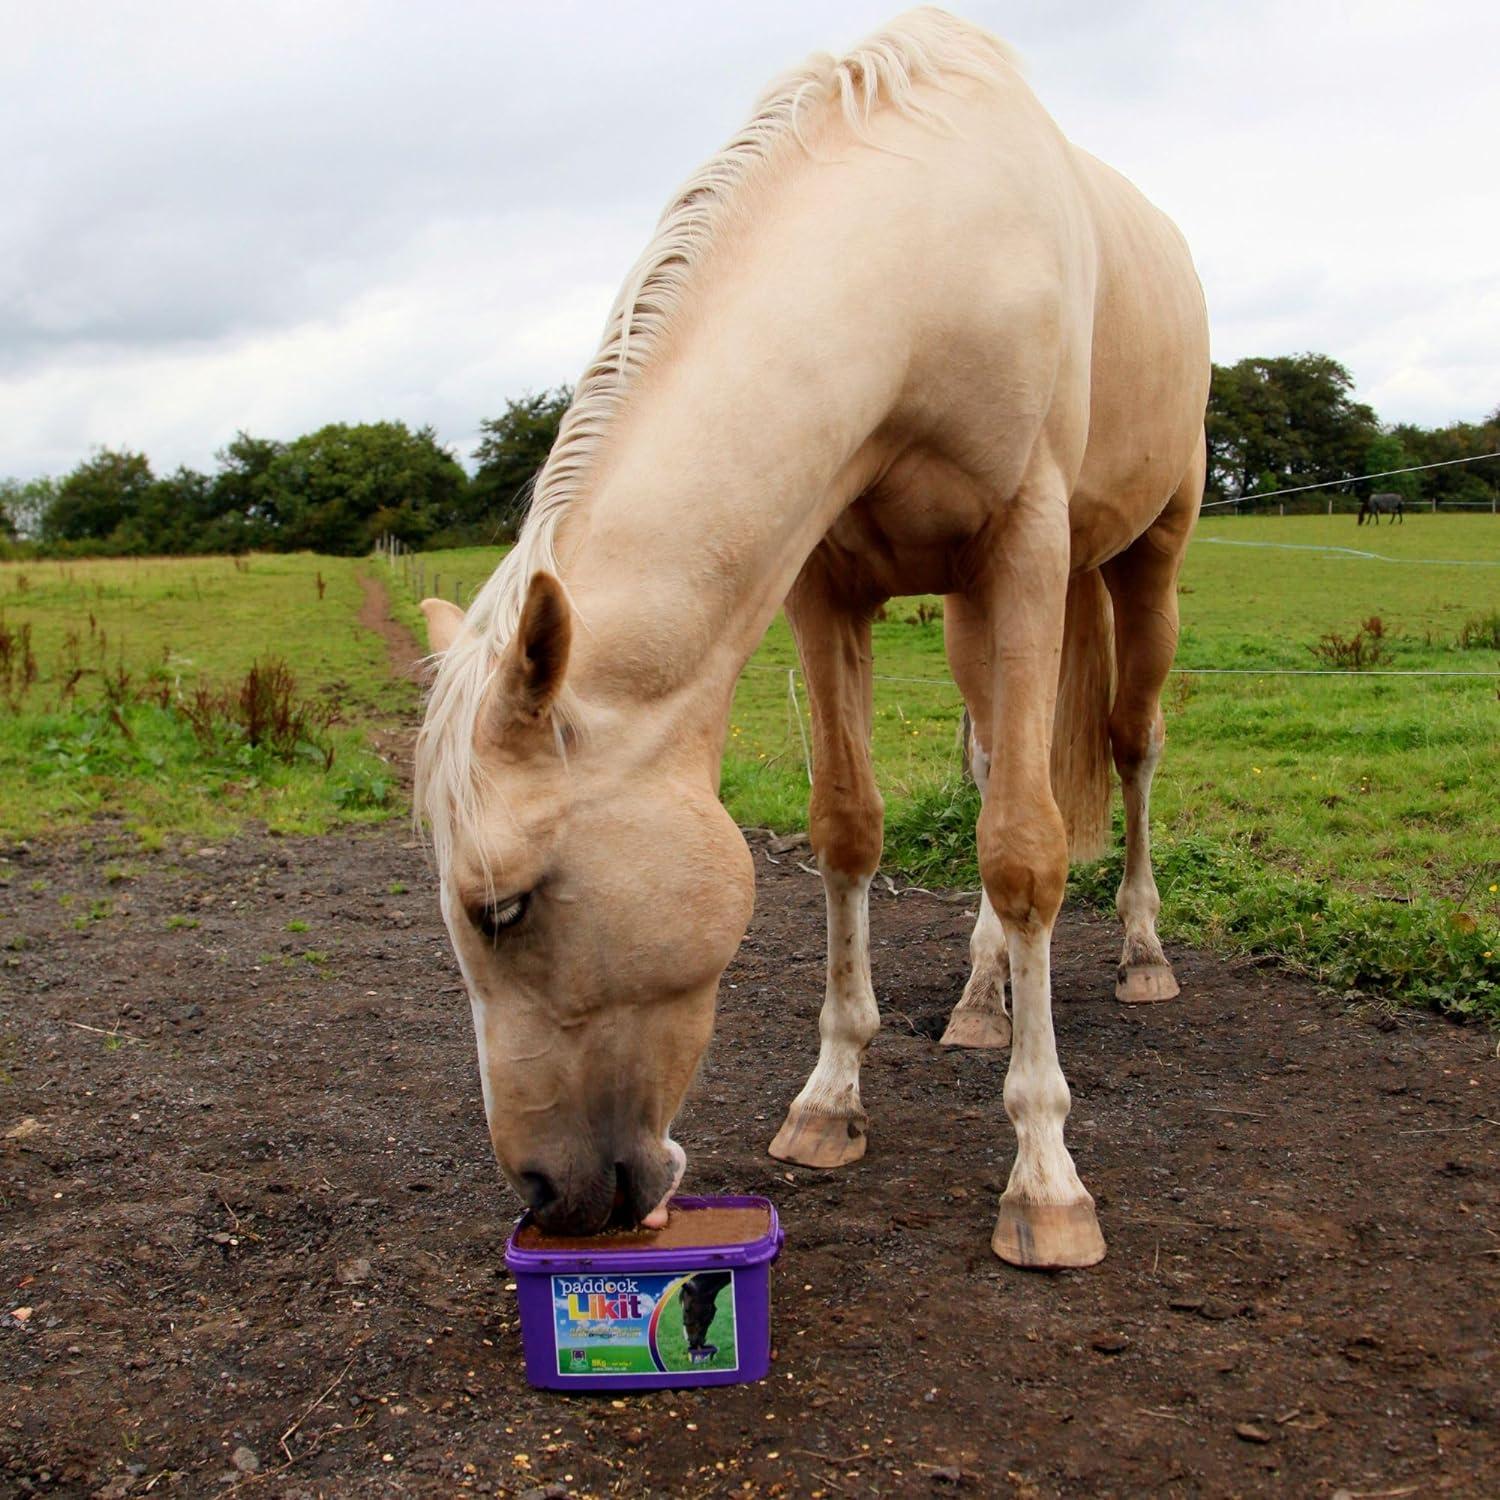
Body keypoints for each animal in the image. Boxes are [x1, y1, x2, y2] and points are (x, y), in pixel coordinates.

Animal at [415, 8, 1209, 1271]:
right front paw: (830, 1101)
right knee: (995, 757)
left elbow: (1025, 852)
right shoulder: (828, 588)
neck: (925, 261)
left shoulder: (1028, 550)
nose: (548, 1196)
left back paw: (1141, 955)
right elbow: (849, 831)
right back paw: (981, 999)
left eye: (509, 909)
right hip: (975, 617)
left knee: (1131, 747)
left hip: (1142, 561)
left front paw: (1045, 1178)